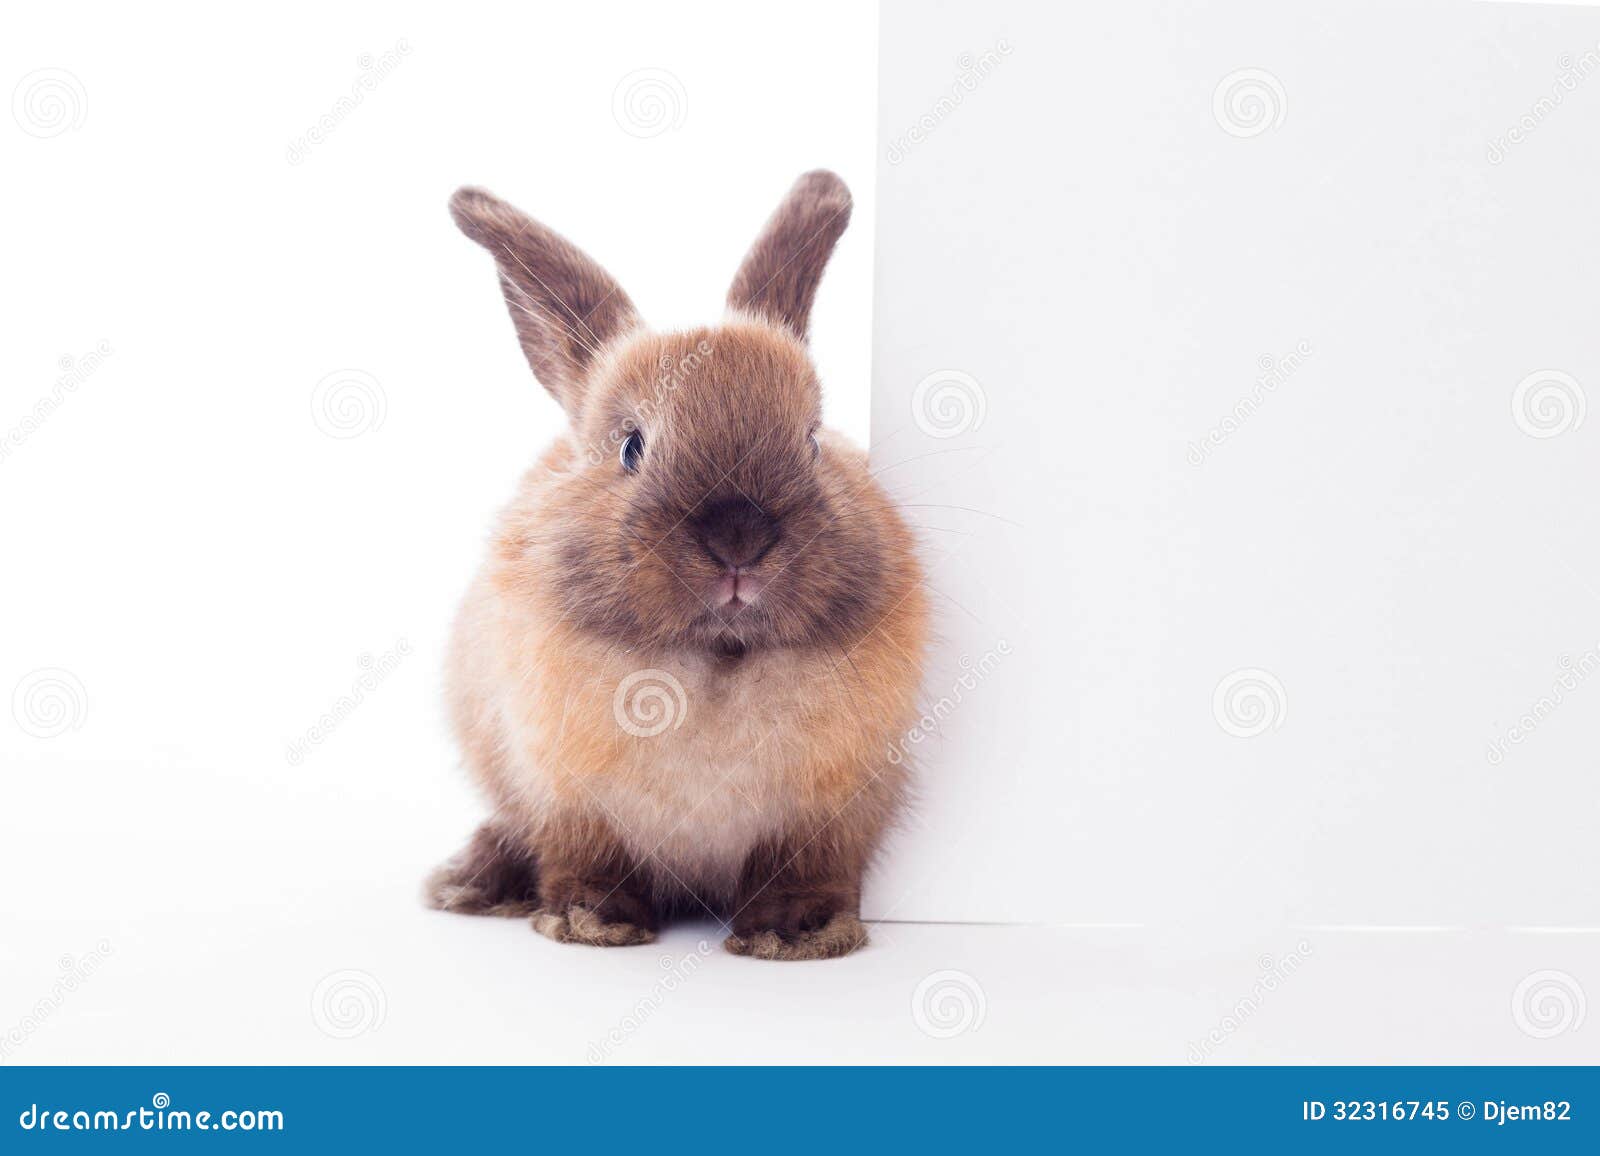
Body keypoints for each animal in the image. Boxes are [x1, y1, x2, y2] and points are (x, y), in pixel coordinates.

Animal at [424, 171, 927, 960]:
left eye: (813, 442)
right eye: (632, 446)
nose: (739, 540)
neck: (715, 657)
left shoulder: (830, 815)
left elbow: (804, 872)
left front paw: (796, 934)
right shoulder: (568, 801)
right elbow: (584, 861)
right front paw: (591, 922)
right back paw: (470, 883)